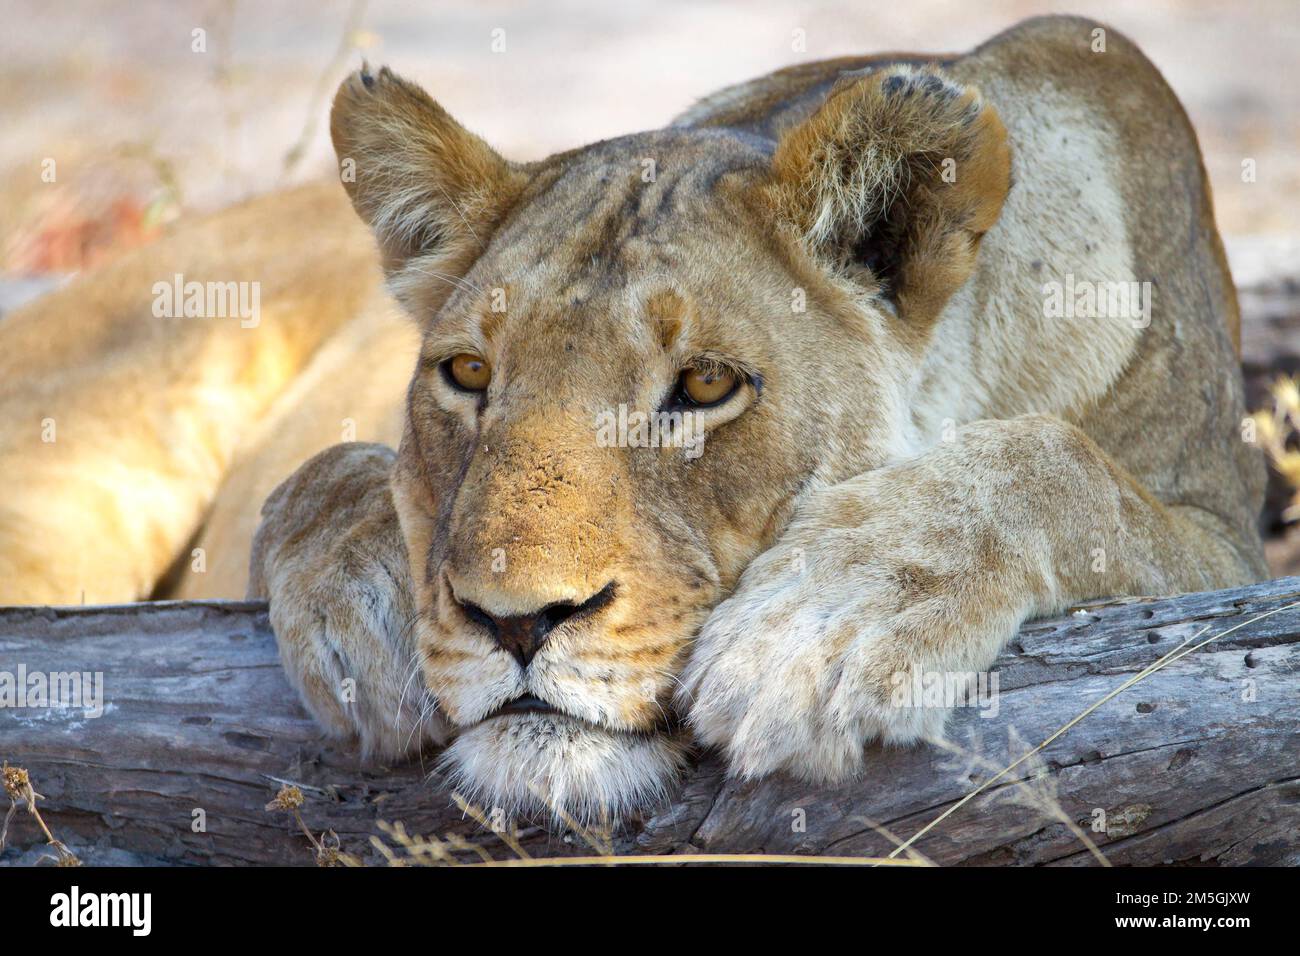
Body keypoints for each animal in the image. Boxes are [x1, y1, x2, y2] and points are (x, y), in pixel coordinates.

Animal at [0, 16, 1267, 822]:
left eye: (704, 386)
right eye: (468, 372)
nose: (515, 621)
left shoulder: (1225, 539)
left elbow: (1066, 467)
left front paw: (822, 621)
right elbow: (335, 467)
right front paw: (373, 603)